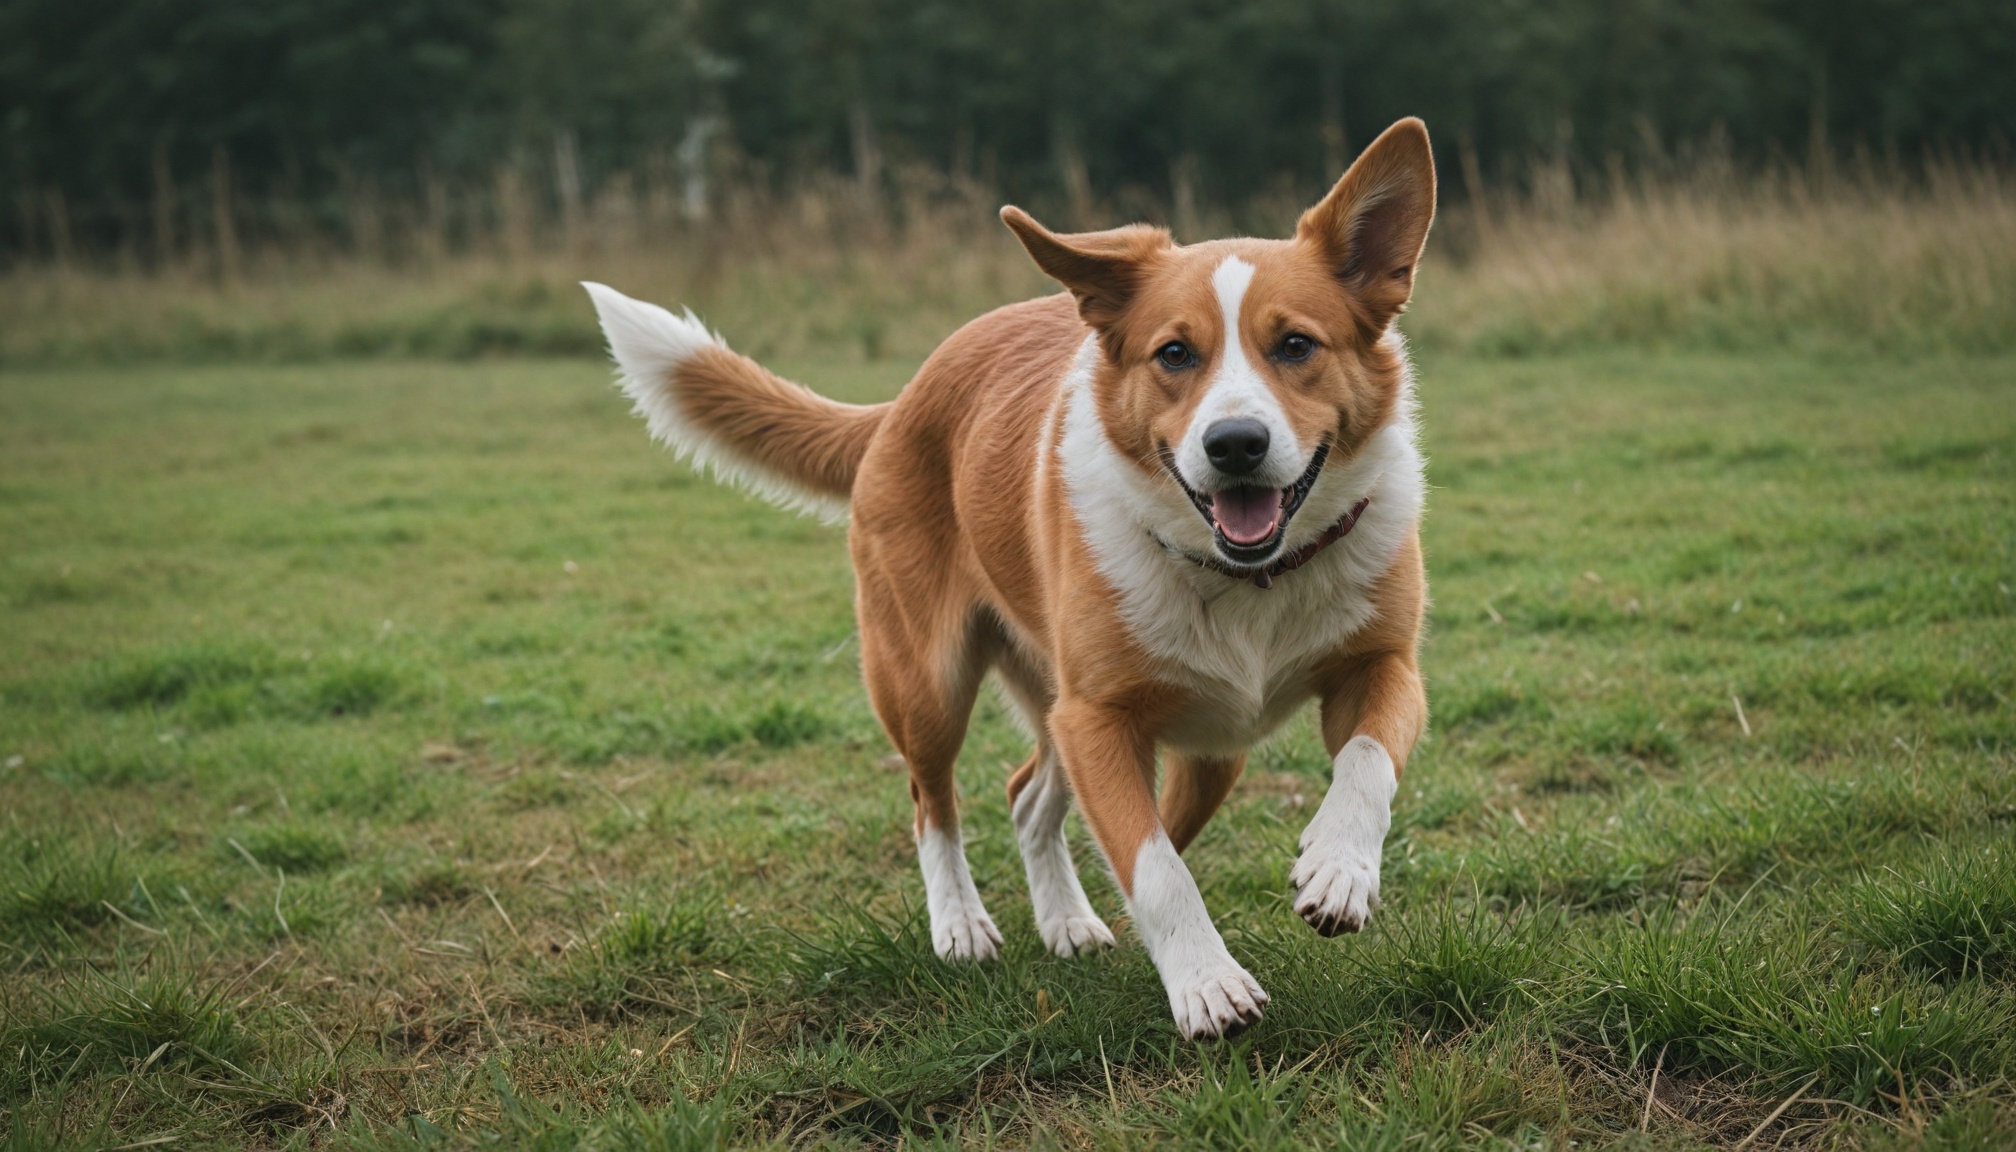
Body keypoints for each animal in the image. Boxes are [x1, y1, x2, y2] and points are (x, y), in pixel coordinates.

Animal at [584, 119, 1435, 1049]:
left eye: (1296, 346)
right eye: (1175, 354)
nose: (1235, 443)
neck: (1251, 582)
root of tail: (901, 400)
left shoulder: (1383, 667)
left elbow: (1365, 758)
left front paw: (1338, 868)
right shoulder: (1097, 718)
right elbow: (1155, 868)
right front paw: (1207, 986)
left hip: (1189, 747)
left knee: (1032, 798)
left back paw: (1068, 921)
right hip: (927, 681)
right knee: (933, 799)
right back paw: (961, 925)